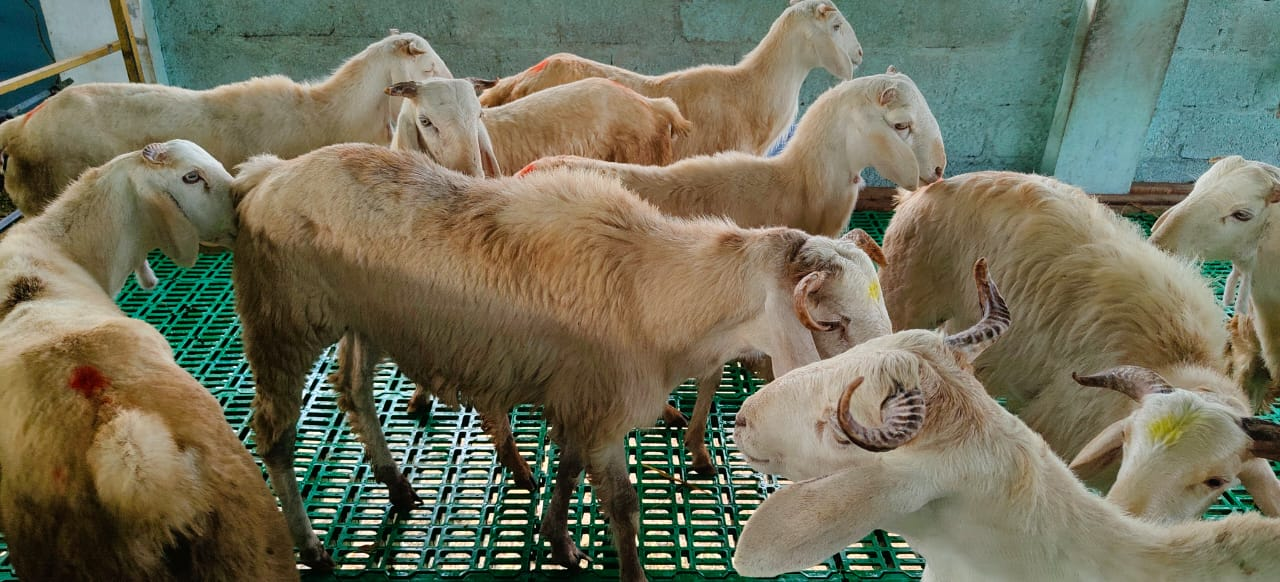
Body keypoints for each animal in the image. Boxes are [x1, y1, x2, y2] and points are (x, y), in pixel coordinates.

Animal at [230, 143, 888, 580]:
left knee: (353, 391)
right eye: (830, 322)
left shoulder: (582, 396)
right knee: (274, 434)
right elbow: (621, 507)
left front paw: (558, 541)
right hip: (281, 319)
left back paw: (397, 485)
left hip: (360, 320)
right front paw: (623, 569)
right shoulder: (604, 409)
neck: (654, 287)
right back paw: (311, 545)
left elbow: (568, 469)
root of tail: (269, 173)